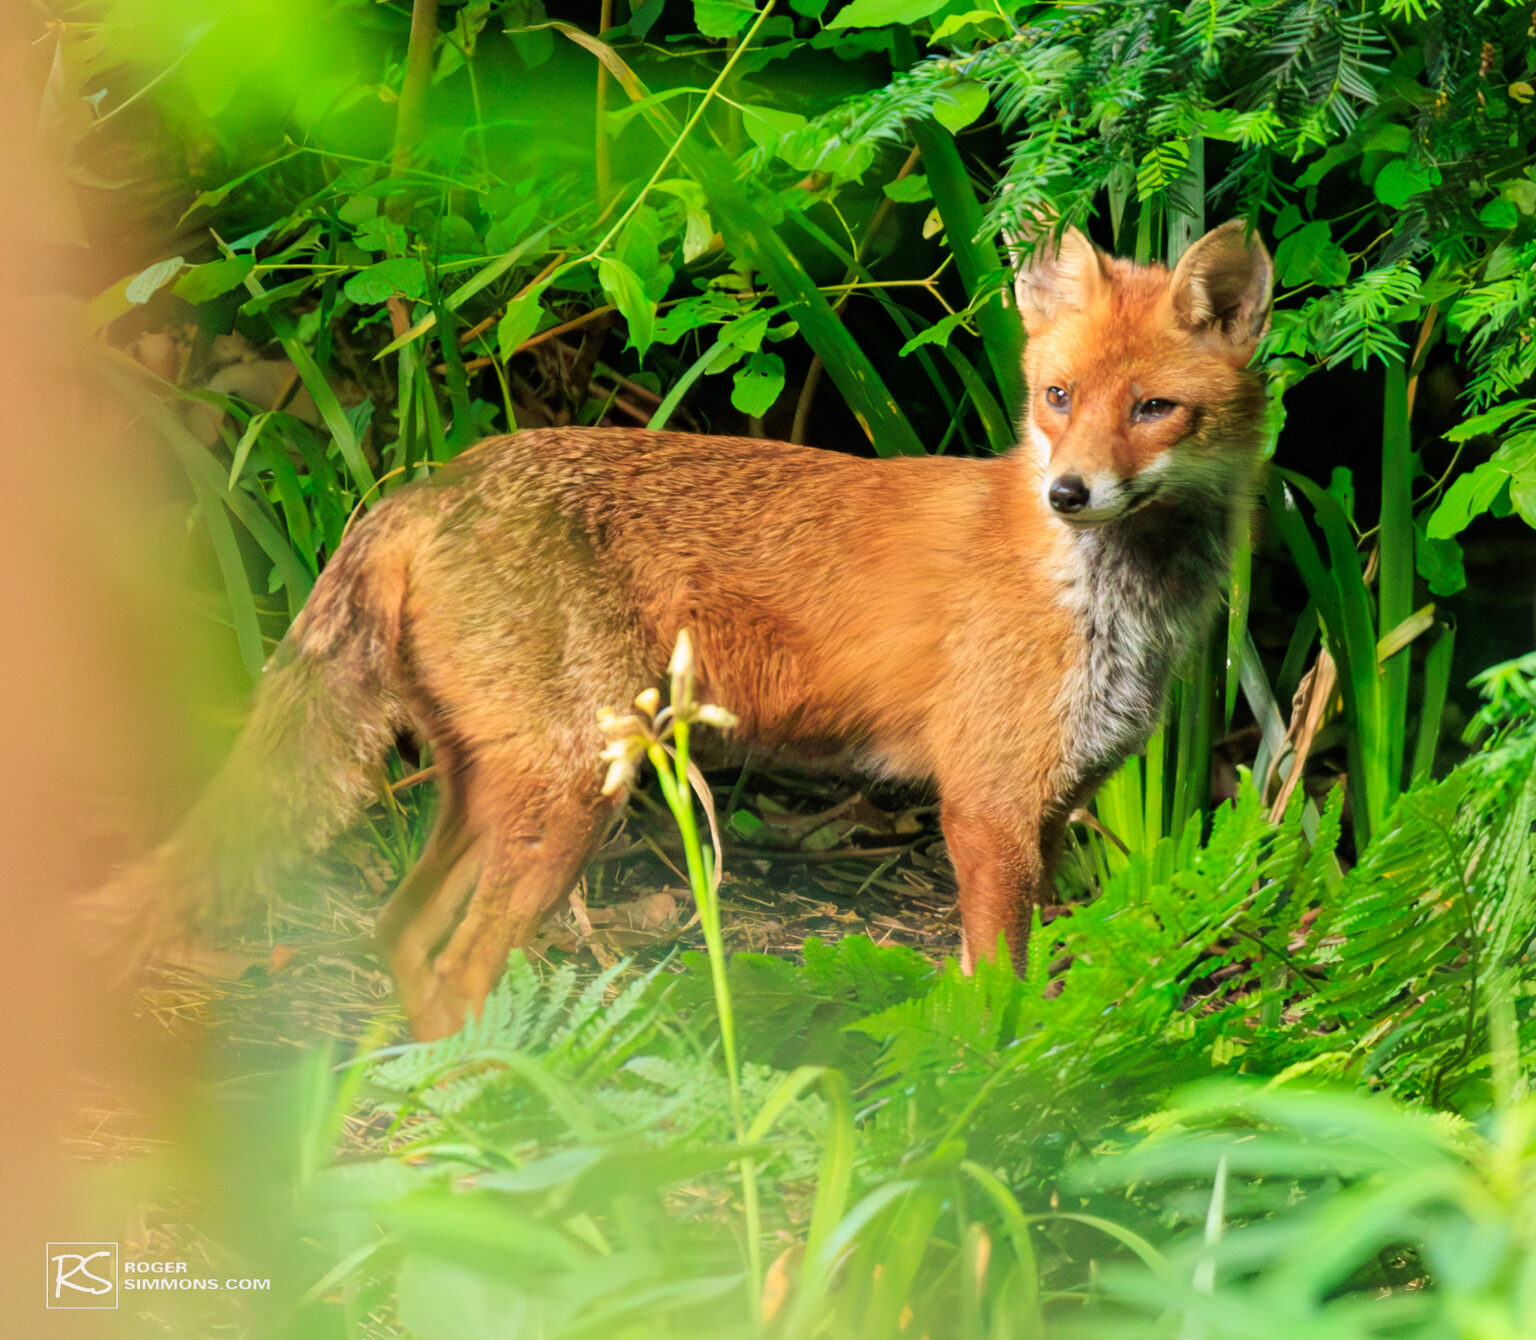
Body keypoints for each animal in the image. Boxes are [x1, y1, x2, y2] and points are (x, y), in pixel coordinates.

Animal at [92, 220, 1273, 1041]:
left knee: (401, 933)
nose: (1070, 493)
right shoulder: (985, 809)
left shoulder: (1058, 809)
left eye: (1153, 409)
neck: (1110, 600)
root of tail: (421, 488)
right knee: (455, 959)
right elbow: (994, 1001)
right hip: (579, 791)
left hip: (490, 790)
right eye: (1057, 396)